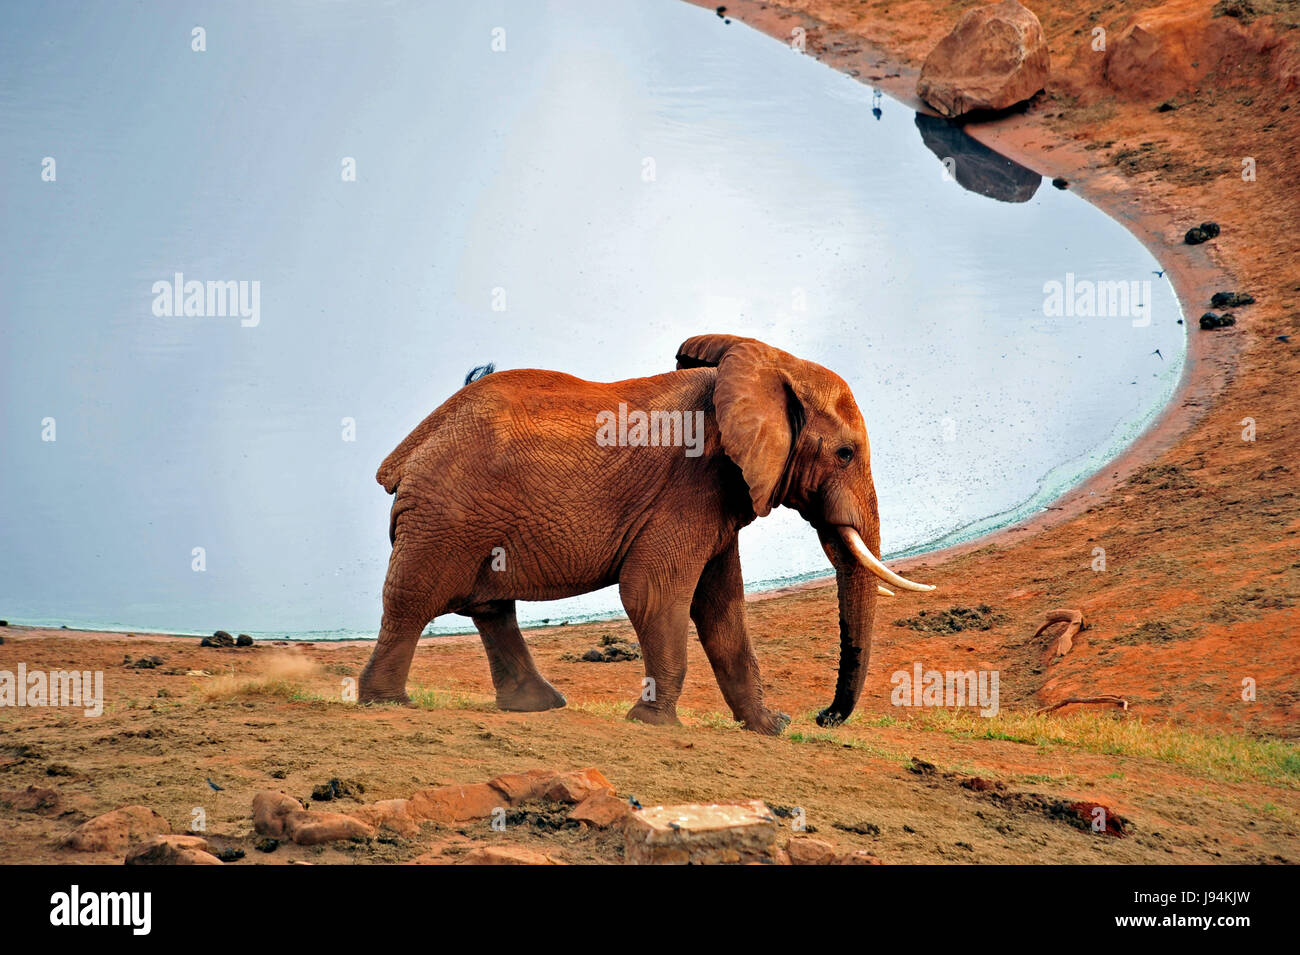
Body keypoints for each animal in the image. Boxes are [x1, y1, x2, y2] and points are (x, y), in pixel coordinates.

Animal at [358, 334, 934, 734]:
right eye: (845, 454)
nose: (820, 717)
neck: (770, 366)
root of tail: (406, 452)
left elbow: (722, 608)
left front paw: (768, 729)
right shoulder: (692, 483)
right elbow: (654, 592)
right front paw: (655, 724)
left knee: (491, 608)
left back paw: (538, 707)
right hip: (445, 513)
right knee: (414, 599)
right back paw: (387, 703)